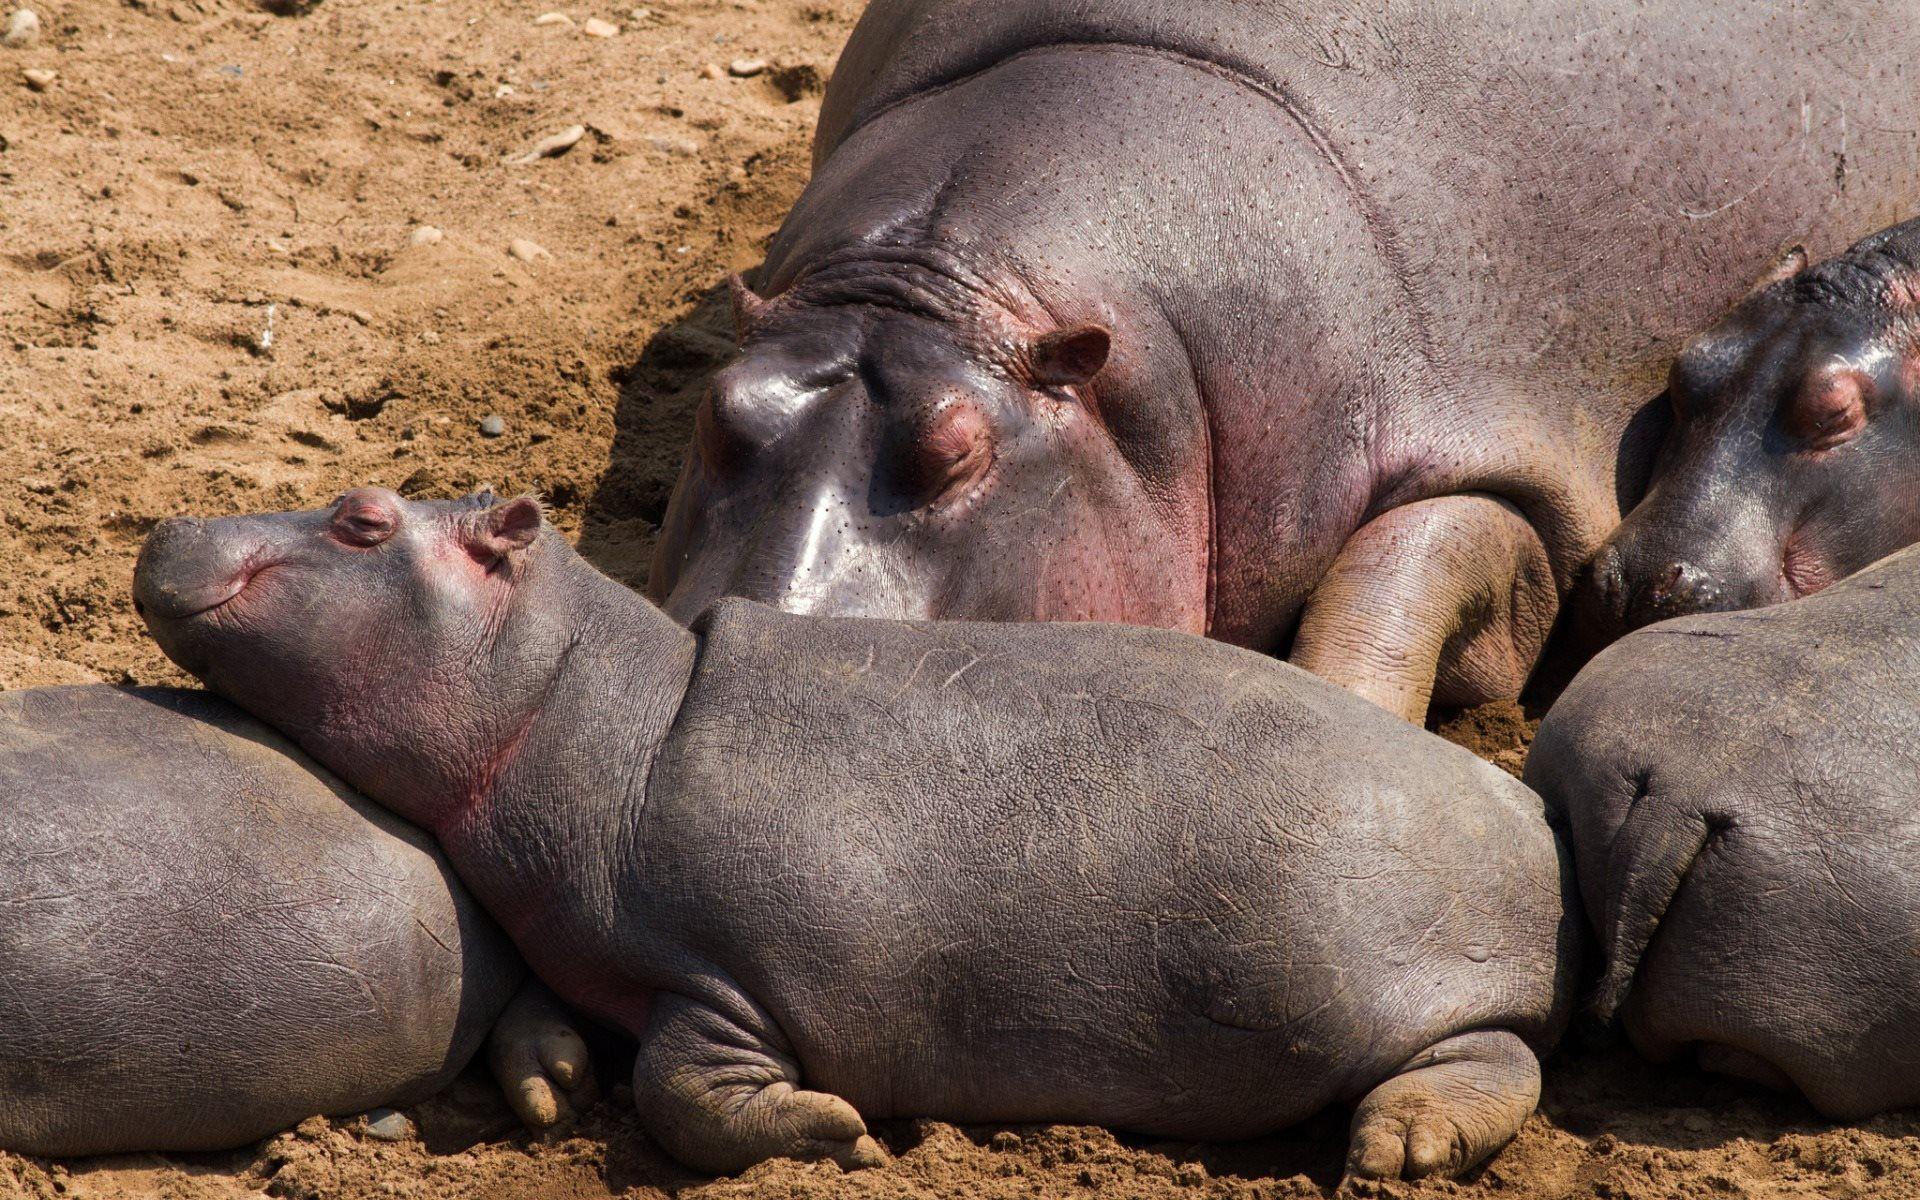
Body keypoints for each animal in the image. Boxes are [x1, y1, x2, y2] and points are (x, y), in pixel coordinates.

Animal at [132, 488, 1578, 1182]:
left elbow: (687, 1091)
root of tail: (1531, 814)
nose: (166, 524)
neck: (578, 696)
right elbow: (553, 1011)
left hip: (1408, 990)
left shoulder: (733, 972)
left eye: (362, 519)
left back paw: (1400, 1151)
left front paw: (838, 1137)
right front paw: (552, 1087)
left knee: (1491, 1056)